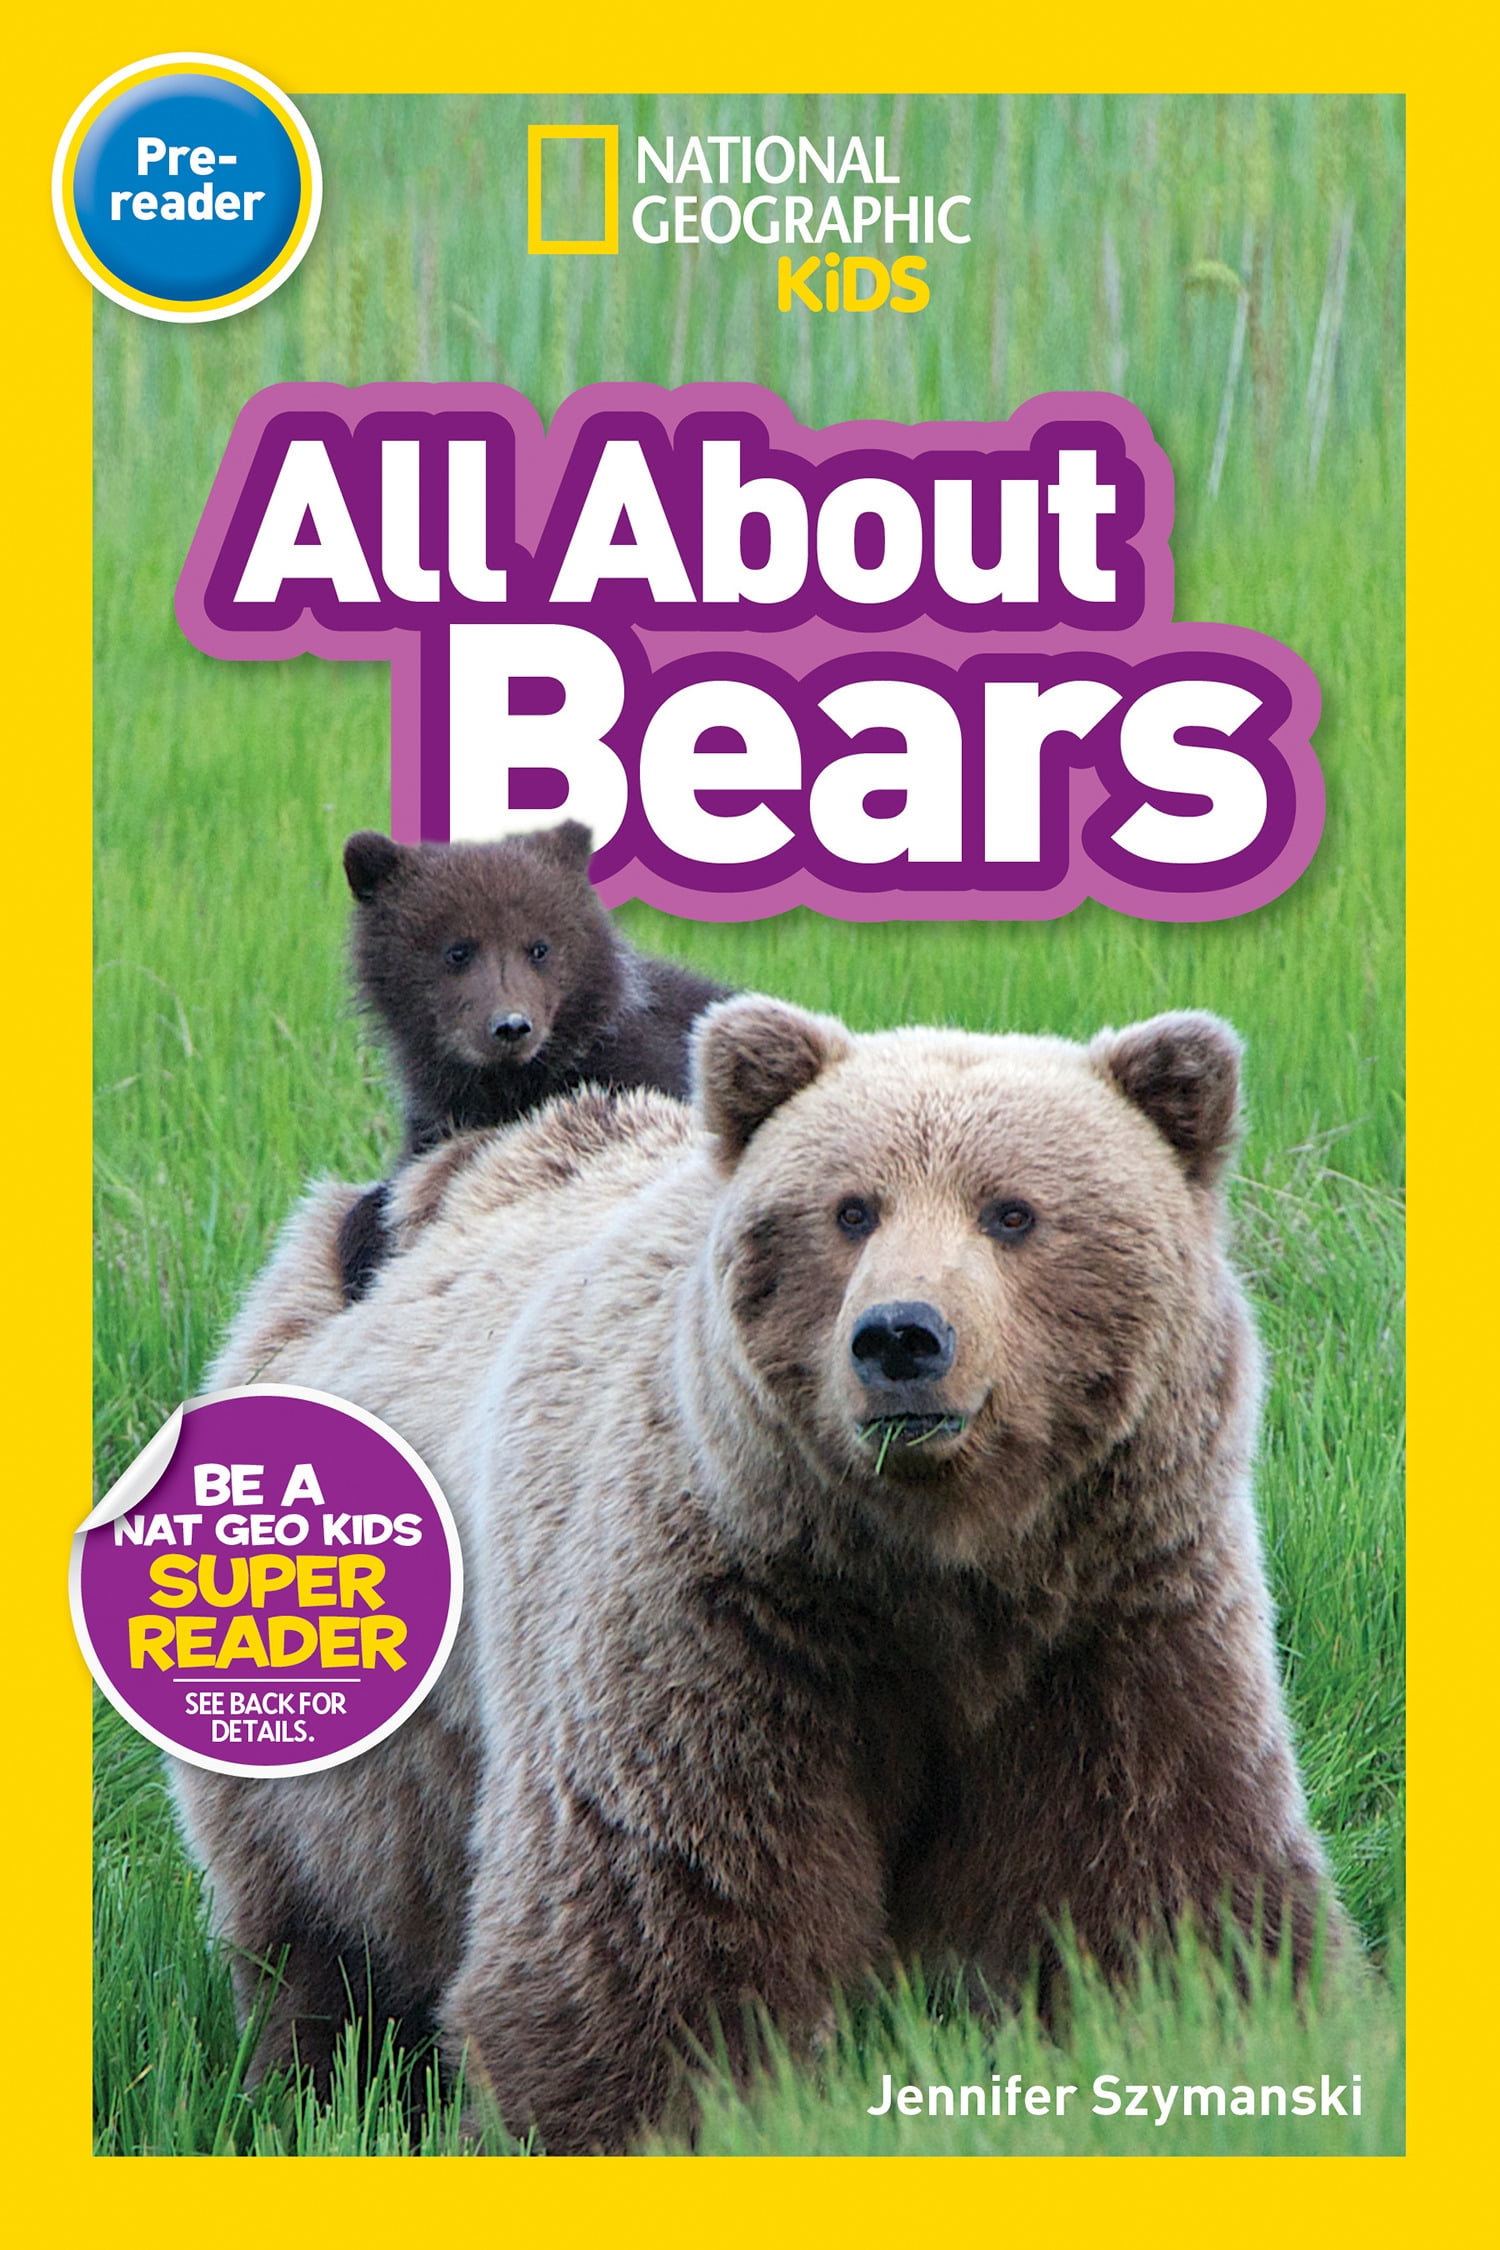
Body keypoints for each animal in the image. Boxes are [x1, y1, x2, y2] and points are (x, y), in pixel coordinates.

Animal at [175, 998, 1340, 2154]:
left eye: (1012, 1212)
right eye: (852, 1209)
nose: (901, 1337)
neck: (931, 1567)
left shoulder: (1114, 1616)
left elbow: (1159, 1875)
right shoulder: (718, 1611)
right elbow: (665, 1918)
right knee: (322, 1914)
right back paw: (312, 2085)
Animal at [333, 818, 732, 1301]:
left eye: (539, 947)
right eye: (458, 950)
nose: (510, 1027)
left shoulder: (642, 1073)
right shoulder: (439, 1116)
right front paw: (361, 1244)